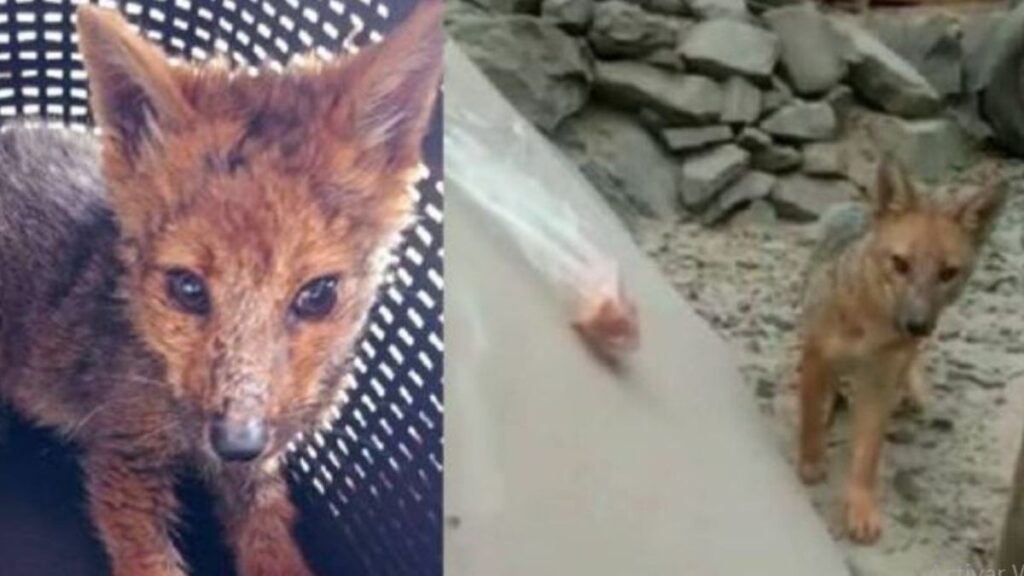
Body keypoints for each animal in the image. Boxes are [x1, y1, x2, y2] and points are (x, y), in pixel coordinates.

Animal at [0, 2, 441, 575]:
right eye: (187, 288)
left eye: (317, 295)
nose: (237, 443)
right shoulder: (123, 454)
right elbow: (152, 561)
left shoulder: (258, 467)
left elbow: (271, 541)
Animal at [795, 157, 1007, 544]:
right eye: (900, 264)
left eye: (948, 273)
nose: (917, 325)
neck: (870, 326)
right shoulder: (817, 355)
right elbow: (810, 417)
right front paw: (811, 460)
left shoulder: (879, 382)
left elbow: (867, 456)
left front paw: (861, 509)